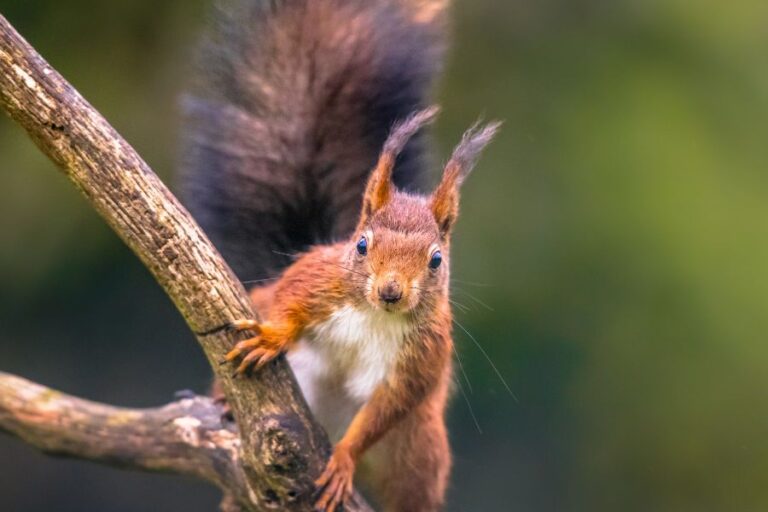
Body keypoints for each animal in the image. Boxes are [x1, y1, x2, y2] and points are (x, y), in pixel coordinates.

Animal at [181, 1, 498, 511]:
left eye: (436, 260)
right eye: (362, 245)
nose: (390, 291)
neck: (375, 315)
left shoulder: (421, 361)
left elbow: (385, 409)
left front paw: (345, 458)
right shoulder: (318, 275)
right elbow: (290, 300)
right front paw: (273, 337)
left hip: (418, 450)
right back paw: (226, 403)